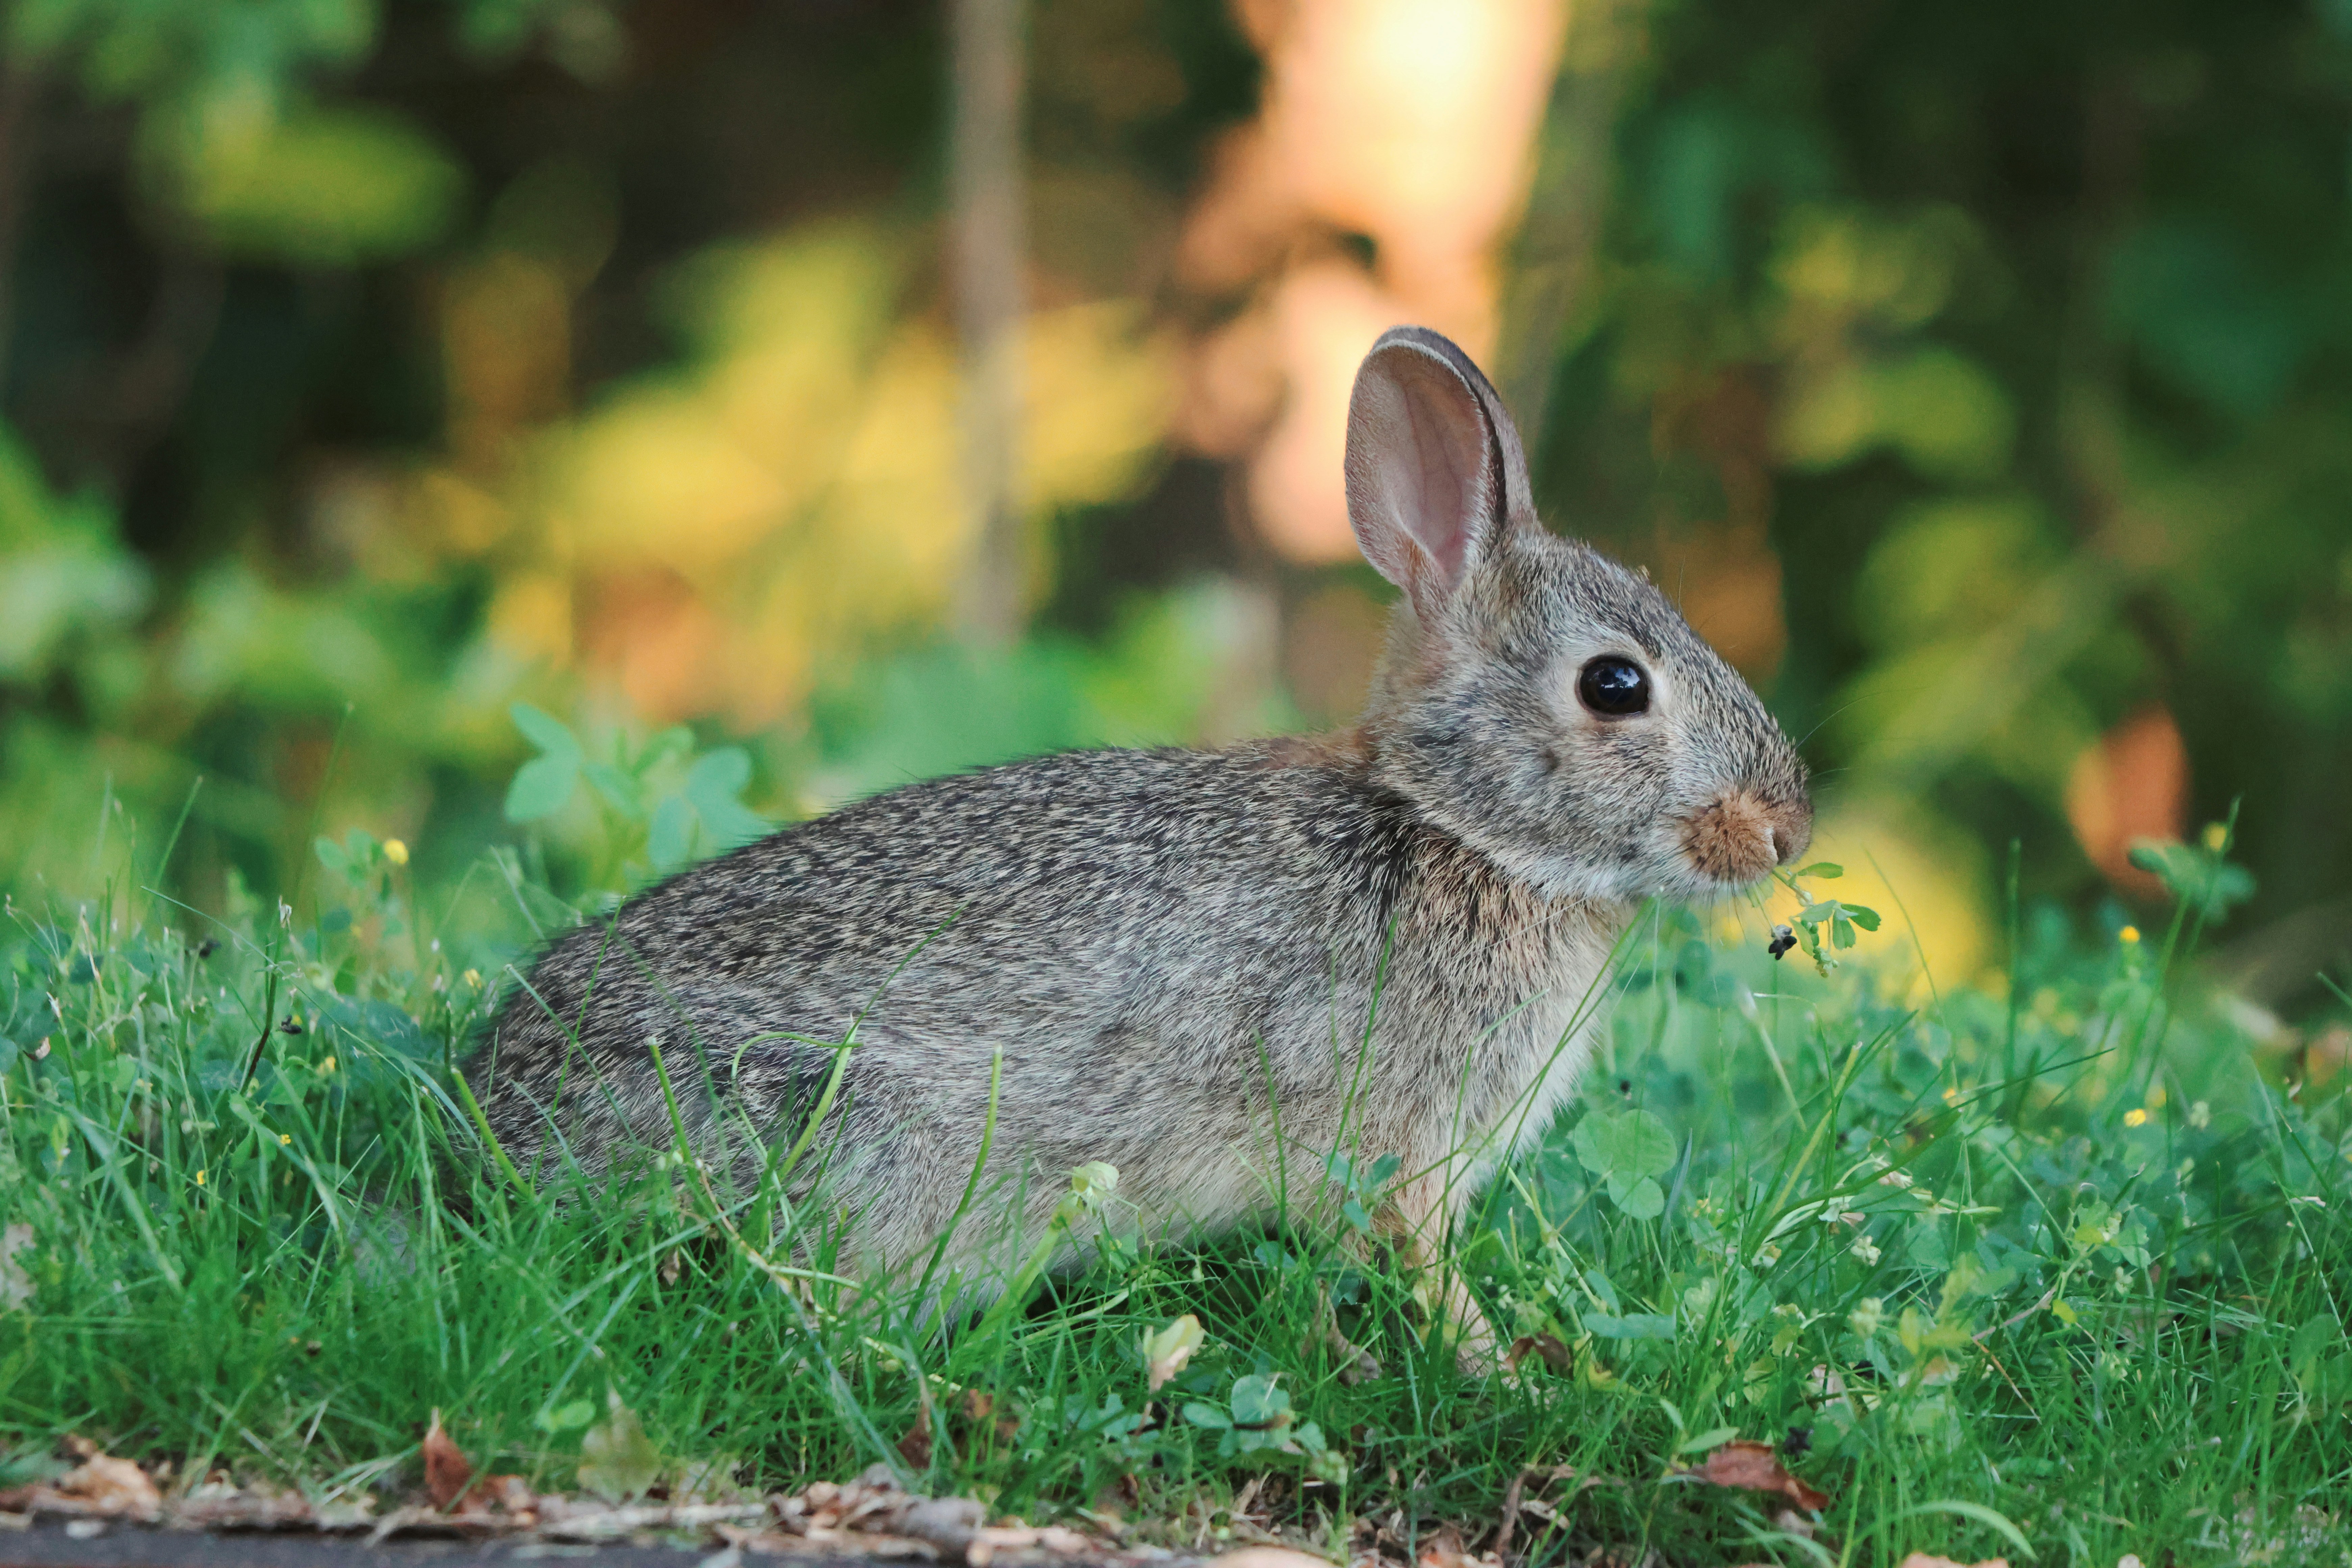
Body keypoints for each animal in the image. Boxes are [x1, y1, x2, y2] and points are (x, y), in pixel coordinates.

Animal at [466, 326, 1812, 1369]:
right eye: (1614, 684)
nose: (1784, 826)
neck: (1452, 824)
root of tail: (500, 1123)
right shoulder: (1396, 1154)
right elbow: (1421, 1269)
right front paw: (1508, 1365)